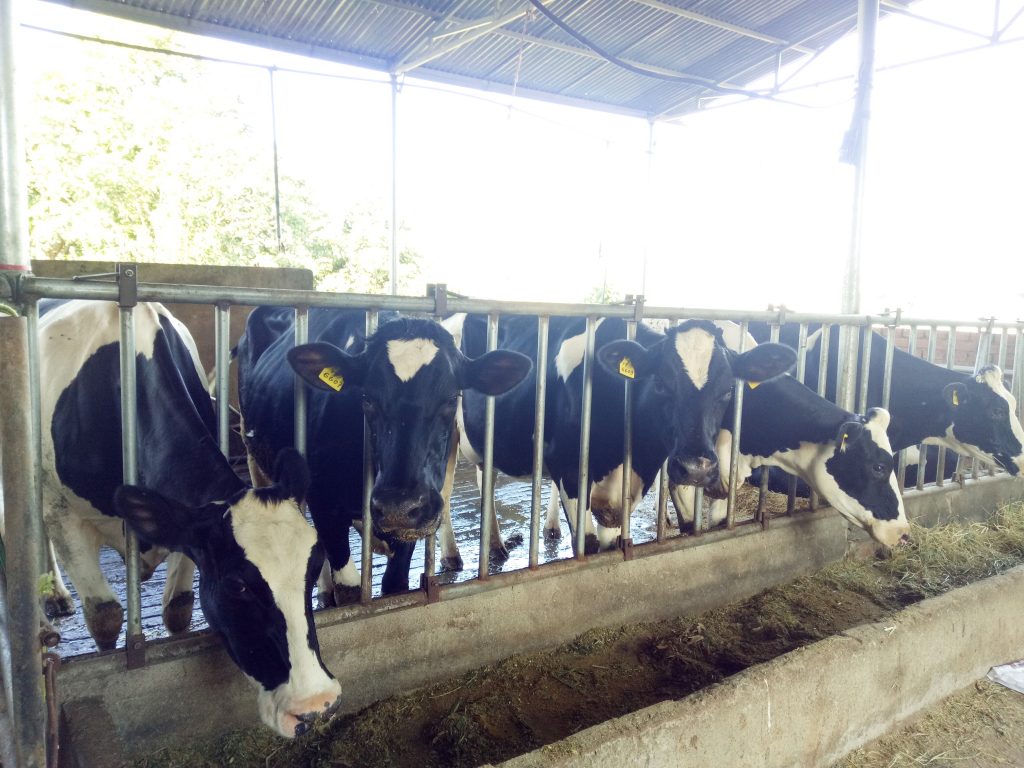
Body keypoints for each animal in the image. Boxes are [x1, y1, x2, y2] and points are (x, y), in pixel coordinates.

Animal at [39, 299, 339, 737]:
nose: (316, 706)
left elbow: (179, 609)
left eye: (314, 566)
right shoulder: (64, 517)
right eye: (237, 585)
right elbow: (105, 618)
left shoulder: (186, 528)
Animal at [236, 307, 531, 602]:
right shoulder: (325, 504)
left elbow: (396, 583)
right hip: (253, 454)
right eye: (367, 399)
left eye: (451, 399)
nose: (397, 506)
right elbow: (349, 591)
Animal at [442, 313, 796, 563]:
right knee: (444, 492)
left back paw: (496, 544)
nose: (697, 468)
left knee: (484, 473)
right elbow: (588, 546)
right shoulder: (569, 470)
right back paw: (452, 557)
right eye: (660, 383)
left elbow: (612, 543)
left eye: (728, 390)